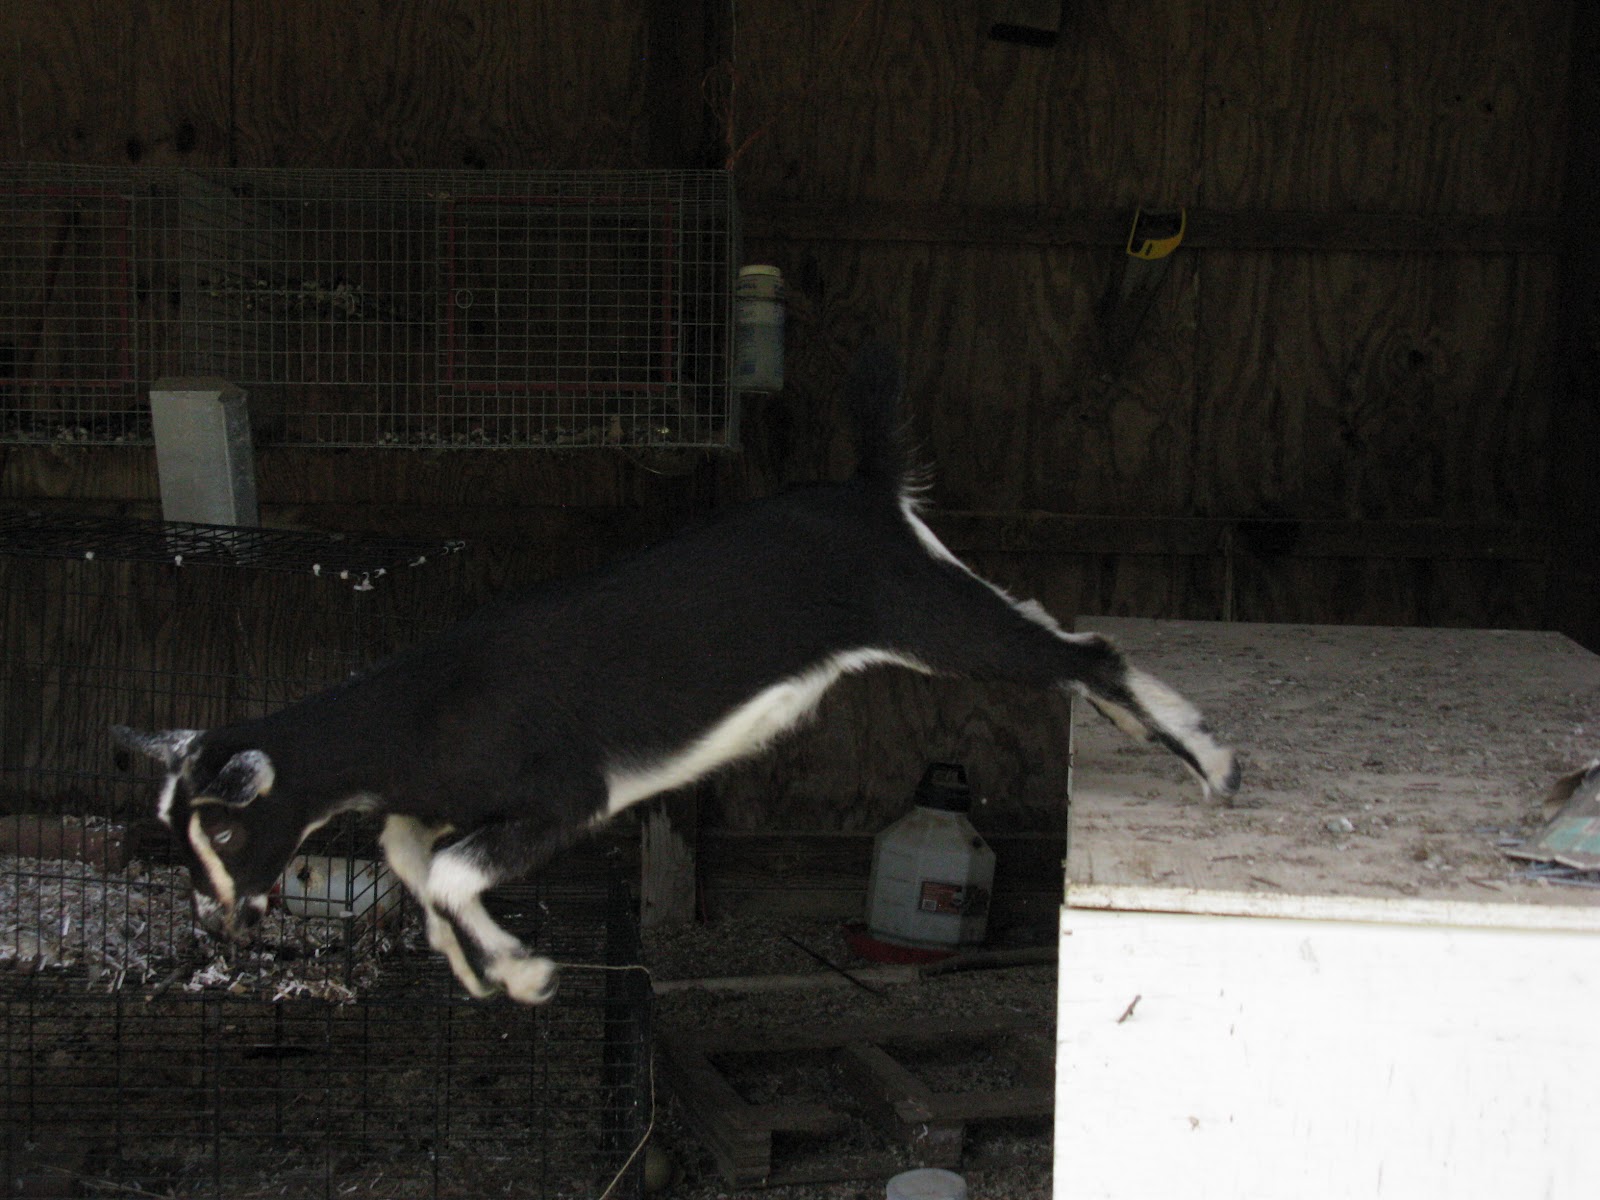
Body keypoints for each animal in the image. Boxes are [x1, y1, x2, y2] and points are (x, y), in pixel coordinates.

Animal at [114, 348, 1239, 1004]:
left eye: (224, 831)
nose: (223, 919)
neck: (422, 710)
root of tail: (868, 491)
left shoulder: (566, 794)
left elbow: (441, 870)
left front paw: (520, 973)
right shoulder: (439, 805)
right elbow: (408, 858)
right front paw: (491, 971)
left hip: (930, 617)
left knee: (1078, 650)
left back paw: (1214, 767)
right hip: (946, 595)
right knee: (1059, 633)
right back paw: (1153, 735)